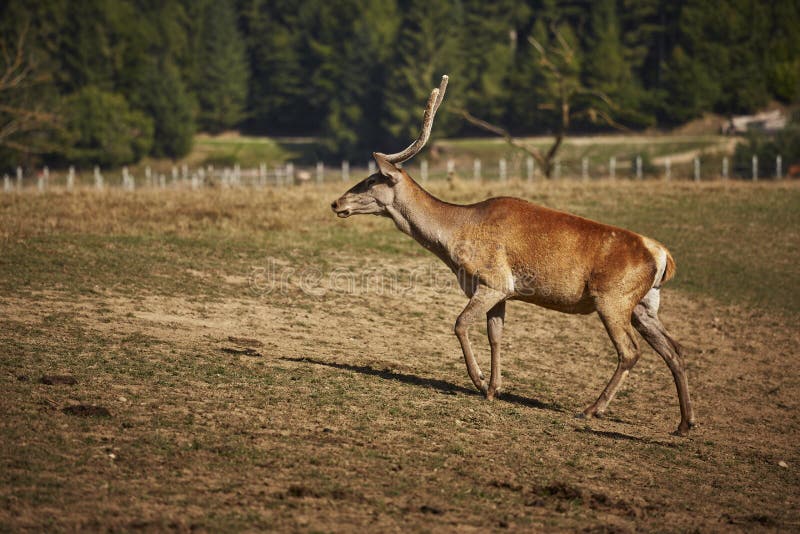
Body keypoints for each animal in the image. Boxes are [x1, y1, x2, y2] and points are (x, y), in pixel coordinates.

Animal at [330, 75, 695, 435]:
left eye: (372, 179)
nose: (336, 202)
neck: (454, 239)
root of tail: (662, 256)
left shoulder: (493, 280)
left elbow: (460, 324)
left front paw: (479, 382)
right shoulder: (503, 292)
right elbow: (496, 335)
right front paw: (495, 388)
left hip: (613, 298)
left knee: (630, 351)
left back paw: (592, 410)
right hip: (644, 304)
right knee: (675, 349)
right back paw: (684, 423)